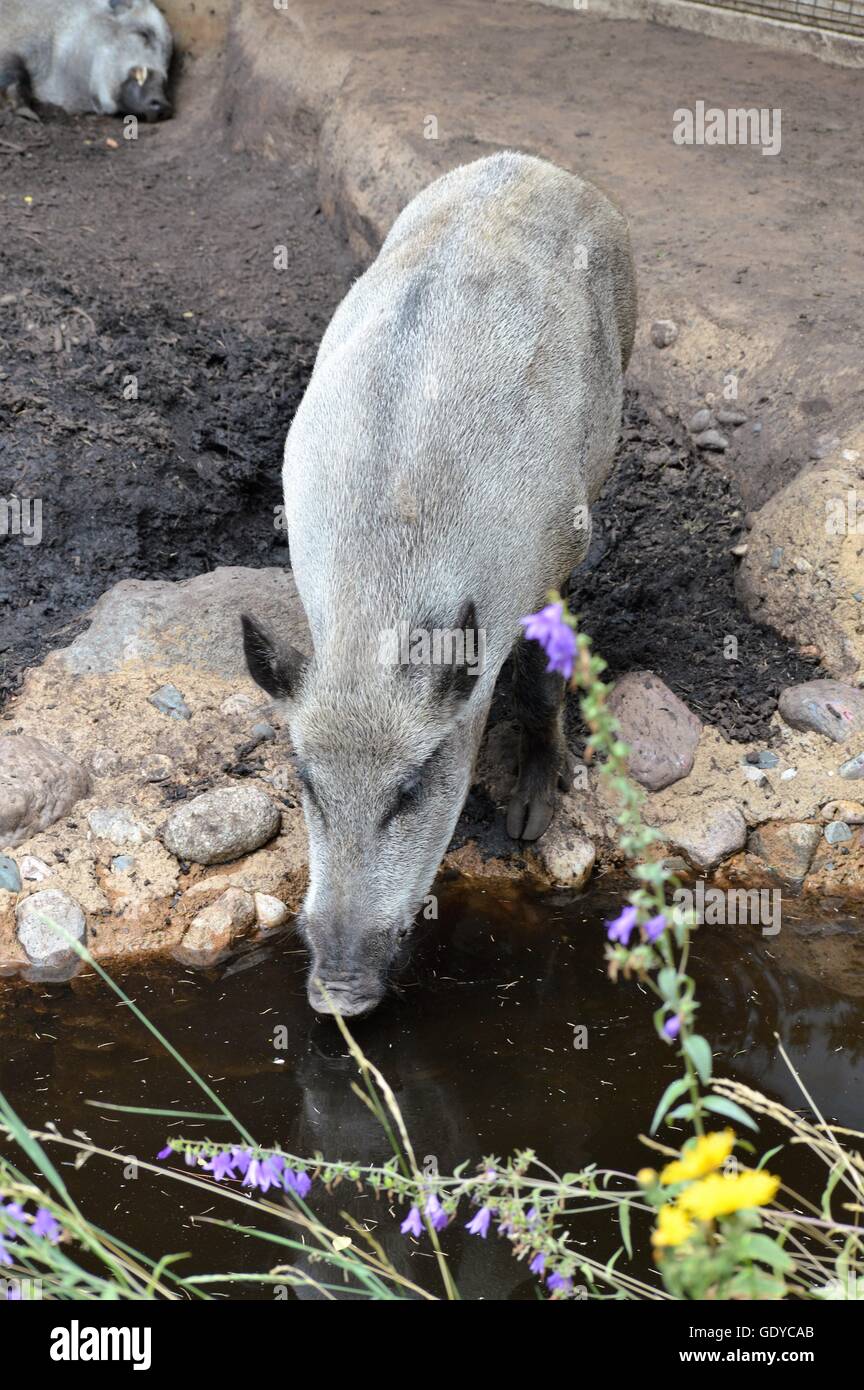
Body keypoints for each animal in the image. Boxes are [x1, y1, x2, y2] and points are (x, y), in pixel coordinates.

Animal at [243, 152, 636, 1018]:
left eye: (412, 788)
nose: (336, 996)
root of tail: (530, 164)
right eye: (306, 783)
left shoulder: (556, 553)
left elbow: (544, 682)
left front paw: (528, 823)